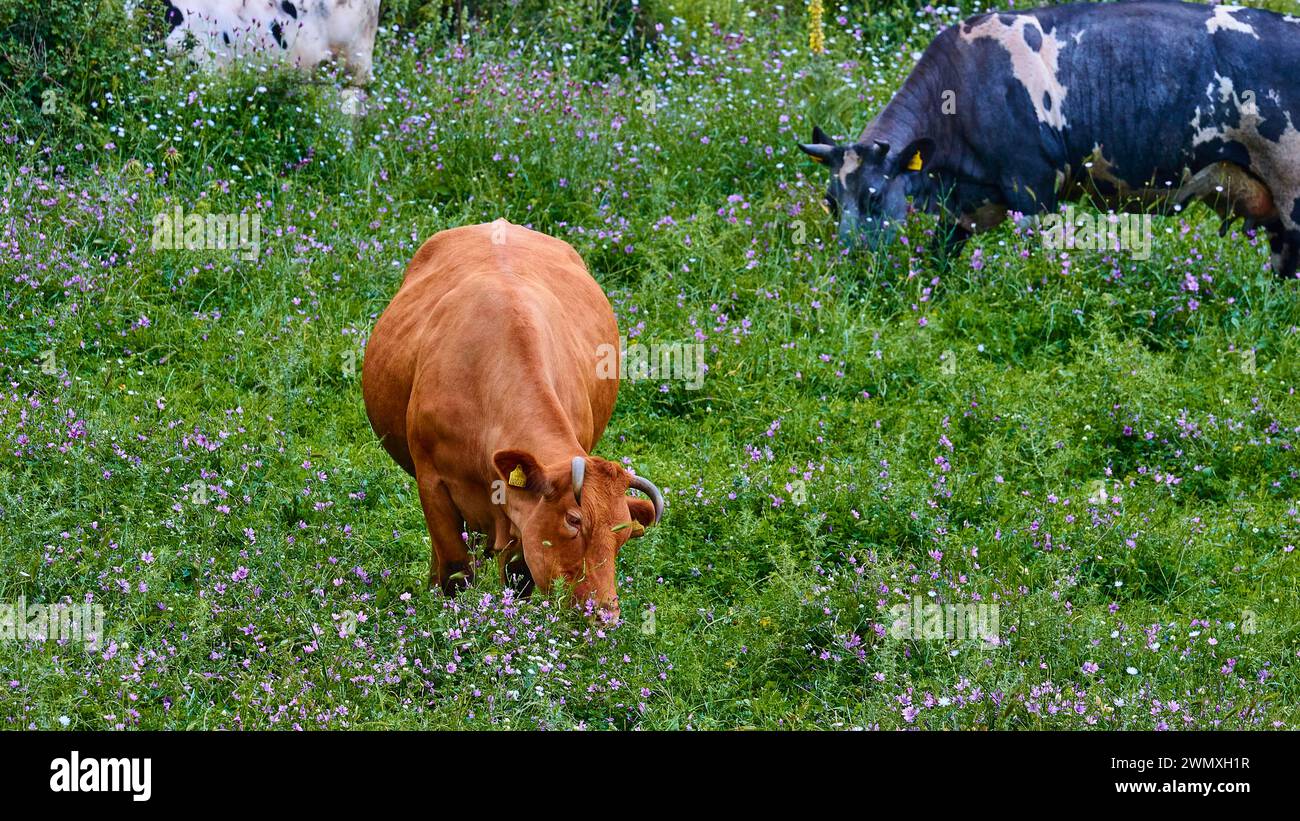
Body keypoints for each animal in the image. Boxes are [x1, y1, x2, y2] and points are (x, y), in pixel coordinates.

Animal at [361, 220, 664, 621]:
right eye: (574, 519)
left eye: (625, 534)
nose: (604, 615)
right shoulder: (431, 482)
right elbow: (455, 570)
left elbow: (518, 579)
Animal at [799, 1, 1300, 278]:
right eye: (830, 201)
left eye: (873, 195)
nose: (850, 260)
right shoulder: (971, 207)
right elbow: (942, 258)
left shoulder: (1034, 190)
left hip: (1292, 192)